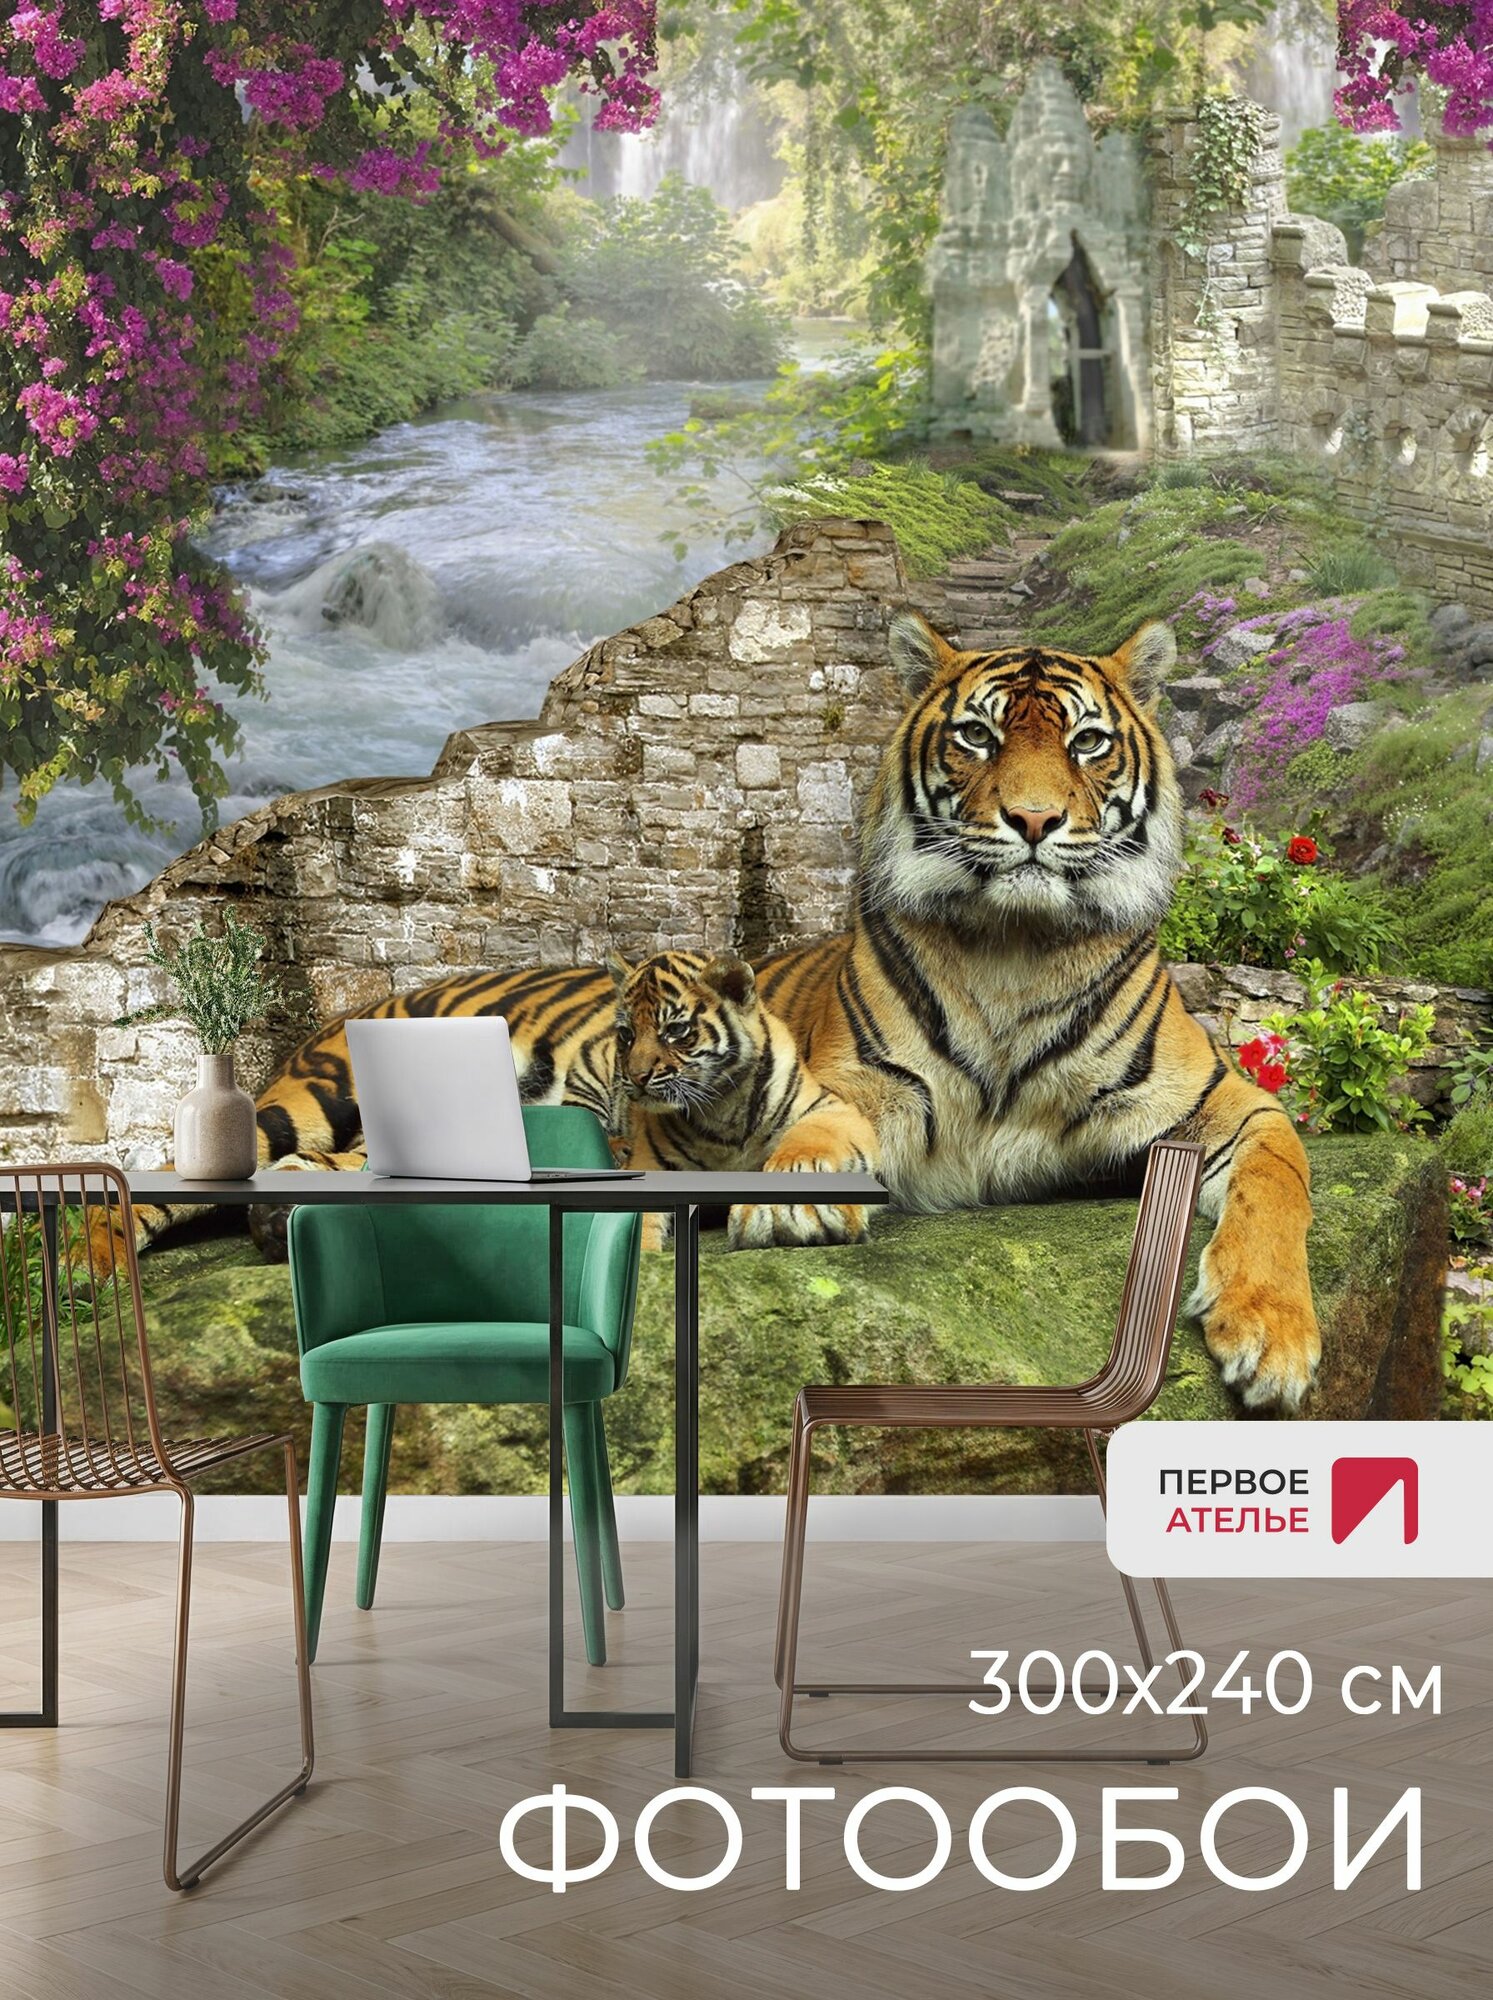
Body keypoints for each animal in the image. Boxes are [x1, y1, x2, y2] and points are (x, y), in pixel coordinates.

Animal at [607, 948, 879, 1251]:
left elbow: (810, 1138)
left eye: (675, 1030)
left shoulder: (831, 1108)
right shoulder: (650, 1161)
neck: (721, 1106)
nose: (637, 1076)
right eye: (627, 1034)